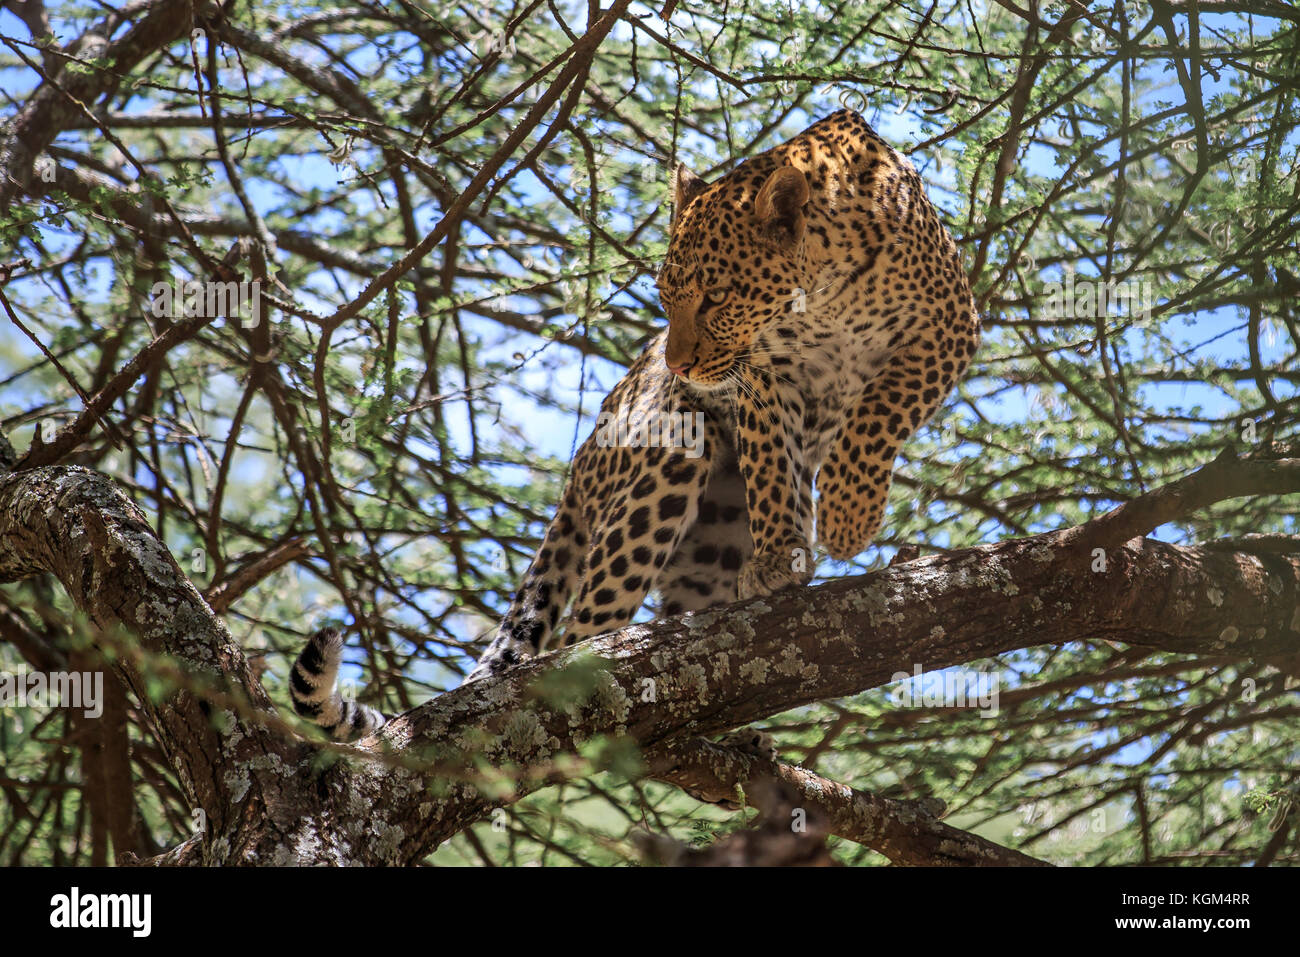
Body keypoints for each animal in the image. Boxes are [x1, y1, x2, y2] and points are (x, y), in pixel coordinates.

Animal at [290, 108, 981, 742]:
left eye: (716, 297)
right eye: (665, 298)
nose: (677, 364)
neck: (821, 293)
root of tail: (575, 469)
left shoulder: (947, 331)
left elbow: (879, 412)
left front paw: (846, 517)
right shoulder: (764, 374)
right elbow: (771, 466)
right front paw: (782, 552)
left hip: (709, 542)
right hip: (669, 457)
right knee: (574, 635)